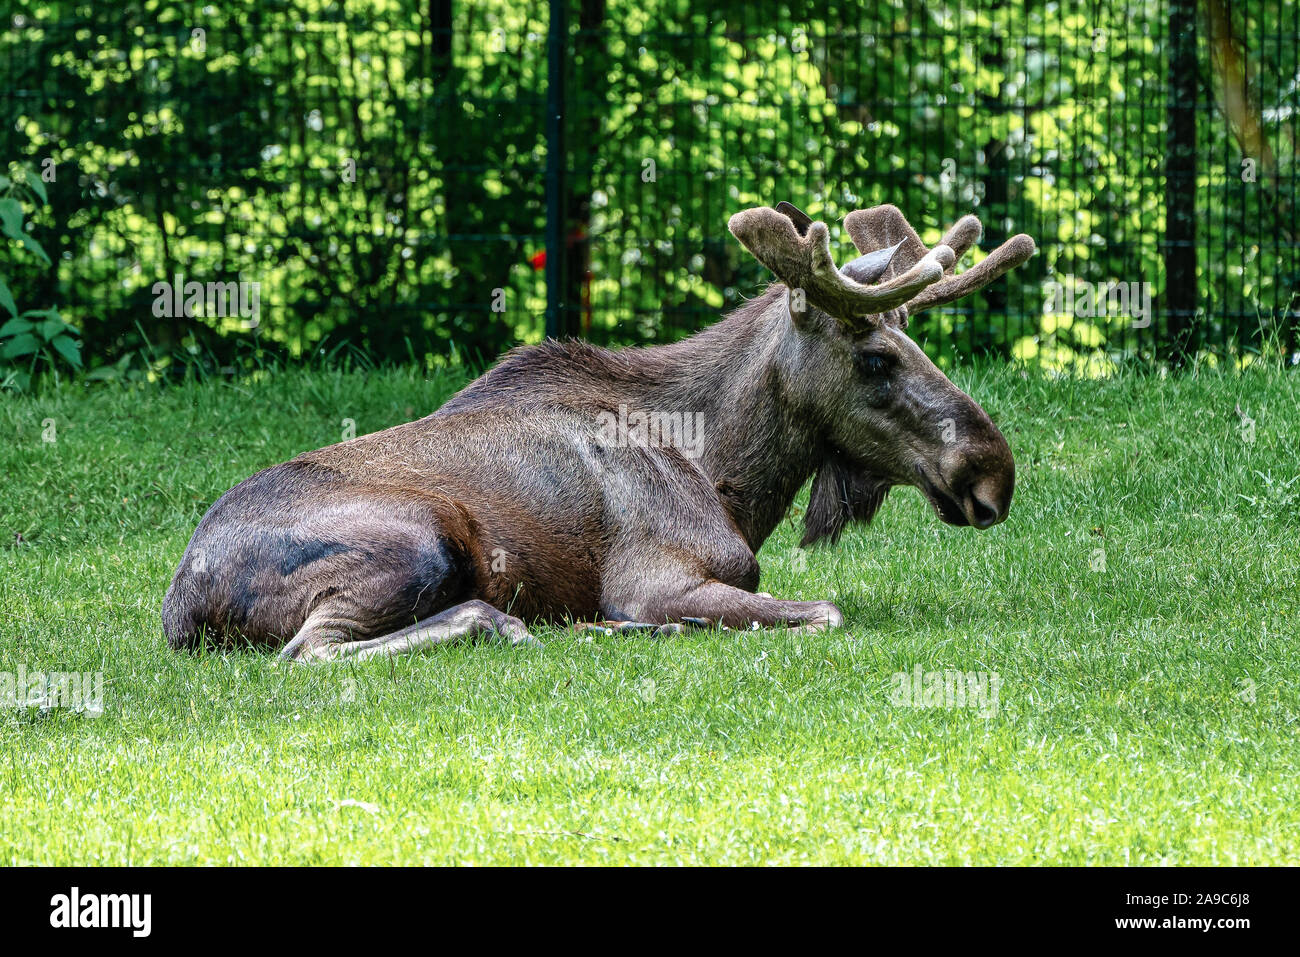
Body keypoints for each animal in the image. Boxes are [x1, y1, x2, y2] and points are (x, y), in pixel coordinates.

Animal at [162, 203, 1036, 663]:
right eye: (876, 356)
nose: (992, 472)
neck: (728, 474)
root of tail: (178, 604)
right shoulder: (661, 575)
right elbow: (824, 609)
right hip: (420, 536)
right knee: (311, 649)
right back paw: (517, 623)